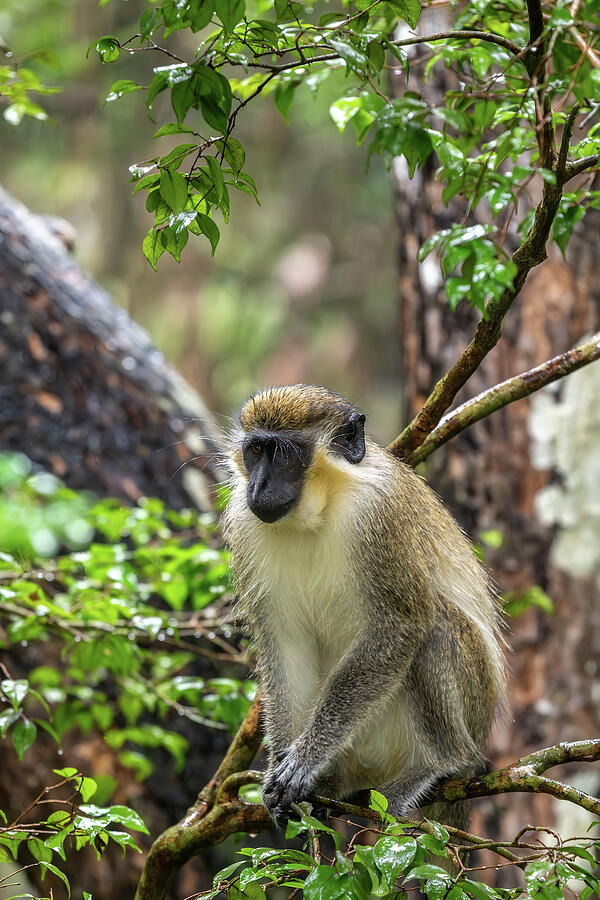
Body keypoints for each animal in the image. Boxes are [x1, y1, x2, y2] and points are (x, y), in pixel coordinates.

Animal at [223, 384, 506, 829]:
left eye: (282, 453)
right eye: (255, 450)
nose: (258, 487)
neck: (319, 510)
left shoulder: (378, 513)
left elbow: (401, 625)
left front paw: (305, 758)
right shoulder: (245, 525)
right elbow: (284, 645)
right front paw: (280, 765)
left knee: (434, 624)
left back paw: (445, 761)